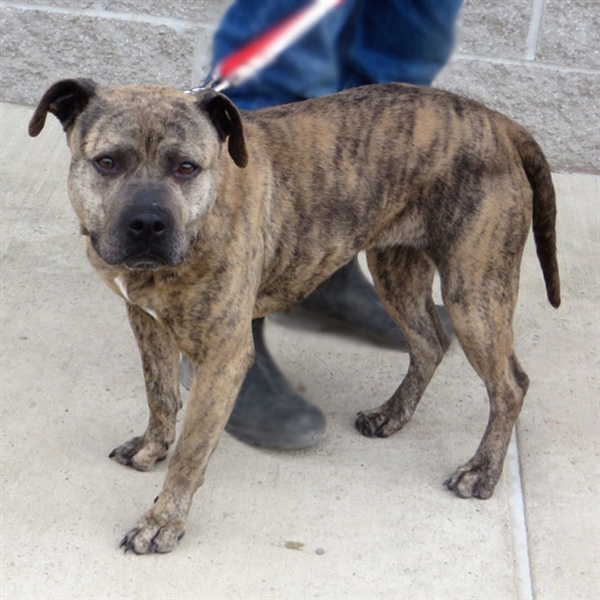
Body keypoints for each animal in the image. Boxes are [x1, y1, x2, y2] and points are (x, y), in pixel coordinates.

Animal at [31, 78, 556, 552]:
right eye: (107, 162)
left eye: (186, 167)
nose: (148, 223)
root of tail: (498, 122)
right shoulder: (145, 321)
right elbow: (159, 395)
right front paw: (152, 447)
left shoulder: (223, 357)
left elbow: (192, 449)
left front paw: (163, 521)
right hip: (397, 271)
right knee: (430, 342)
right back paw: (392, 414)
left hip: (474, 294)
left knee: (510, 385)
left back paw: (482, 471)